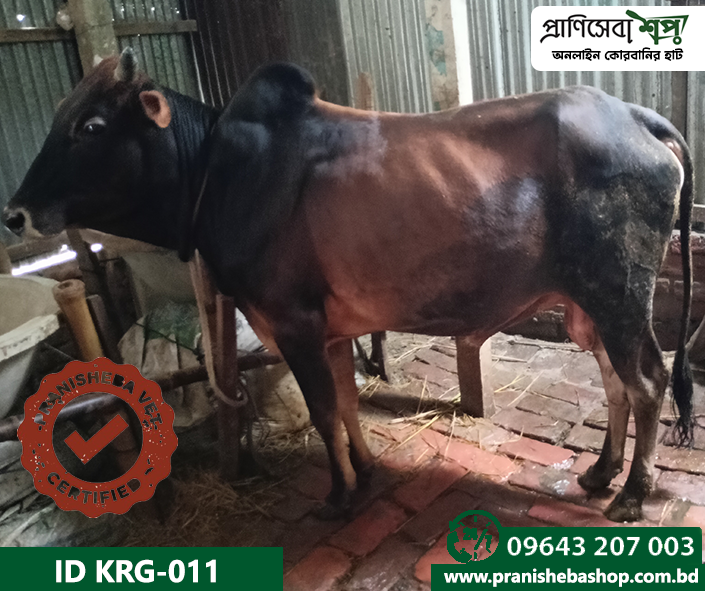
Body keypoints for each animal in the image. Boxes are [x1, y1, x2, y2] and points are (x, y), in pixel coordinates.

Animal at [3, 48, 694, 522]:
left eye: (91, 126)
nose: (14, 214)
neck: (217, 172)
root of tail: (634, 116)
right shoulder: (331, 332)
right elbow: (344, 402)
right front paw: (364, 472)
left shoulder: (293, 323)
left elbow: (323, 411)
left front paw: (337, 495)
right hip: (591, 308)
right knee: (616, 383)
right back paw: (600, 474)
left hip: (618, 295)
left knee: (646, 384)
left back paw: (631, 495)